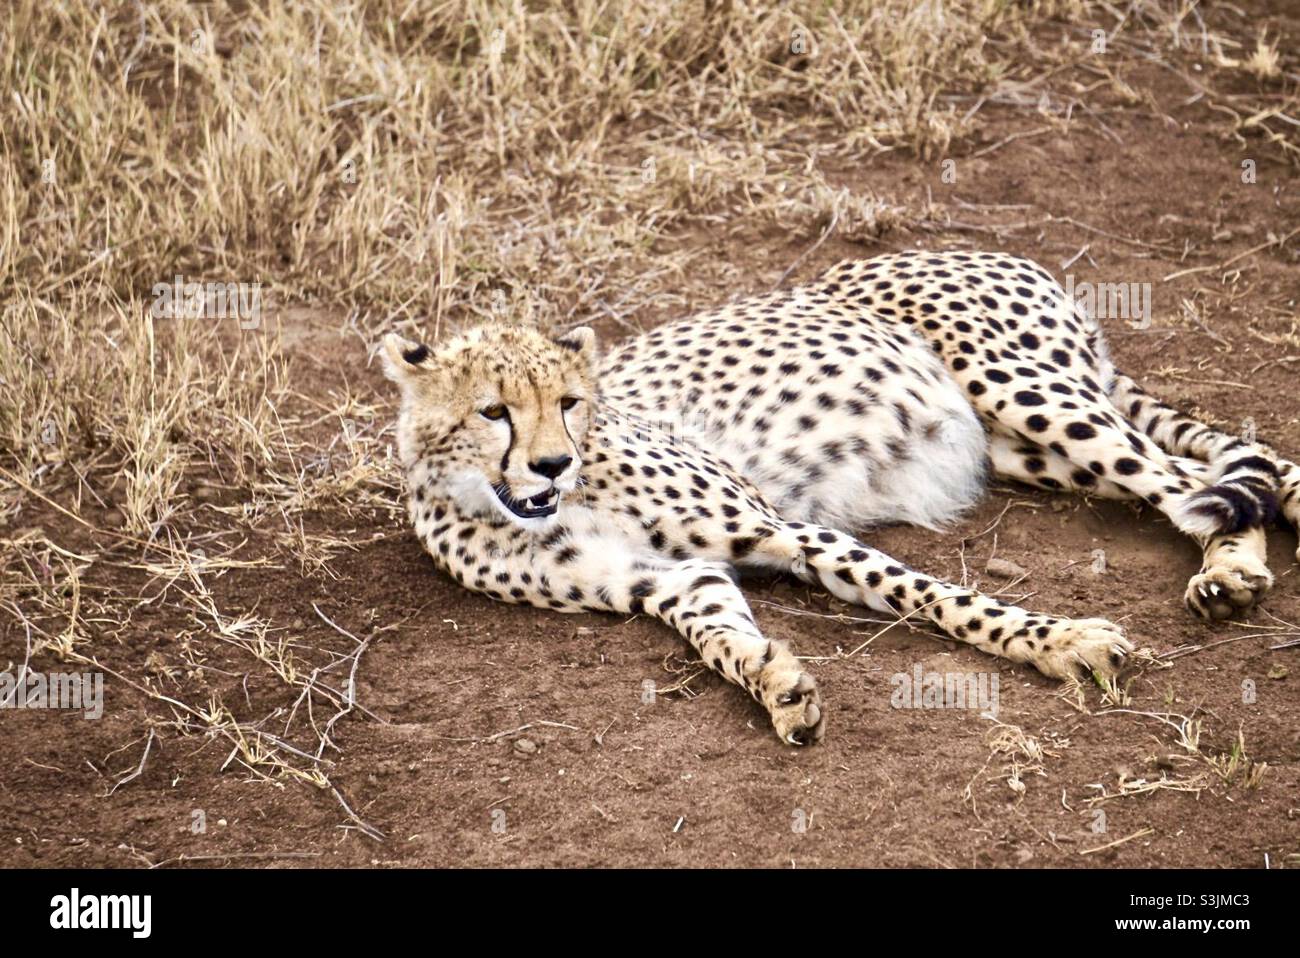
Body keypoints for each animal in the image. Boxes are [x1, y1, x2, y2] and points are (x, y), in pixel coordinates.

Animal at [380, 250, 1300, 745]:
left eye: (570, 402)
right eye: (493, 410)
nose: (551, 465)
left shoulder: (778, 525)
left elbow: (934, 594)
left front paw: (1062, 641)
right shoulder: (670, 580)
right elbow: (719, 636)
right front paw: (775, 680)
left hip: (1031, 395)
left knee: (1198, 479)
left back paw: (1230, 574)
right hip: (1028, 450)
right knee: (1228, 473)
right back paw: (1232, 570)